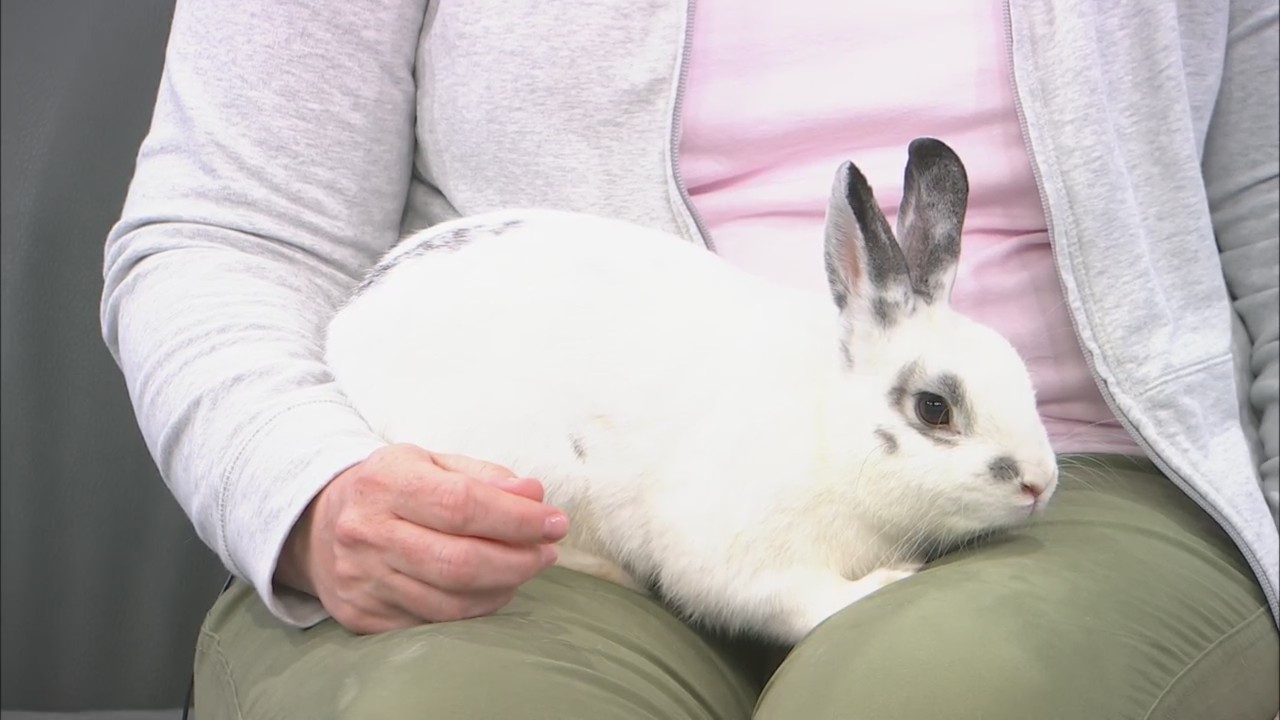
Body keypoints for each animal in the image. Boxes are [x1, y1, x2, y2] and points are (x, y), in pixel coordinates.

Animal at [324, 138, 1059, 644]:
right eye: (934, 408)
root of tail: (341, 335)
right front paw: (890, 581)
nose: (1040, 484)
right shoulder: (738, 554)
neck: (827, 428)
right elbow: (800, 603)